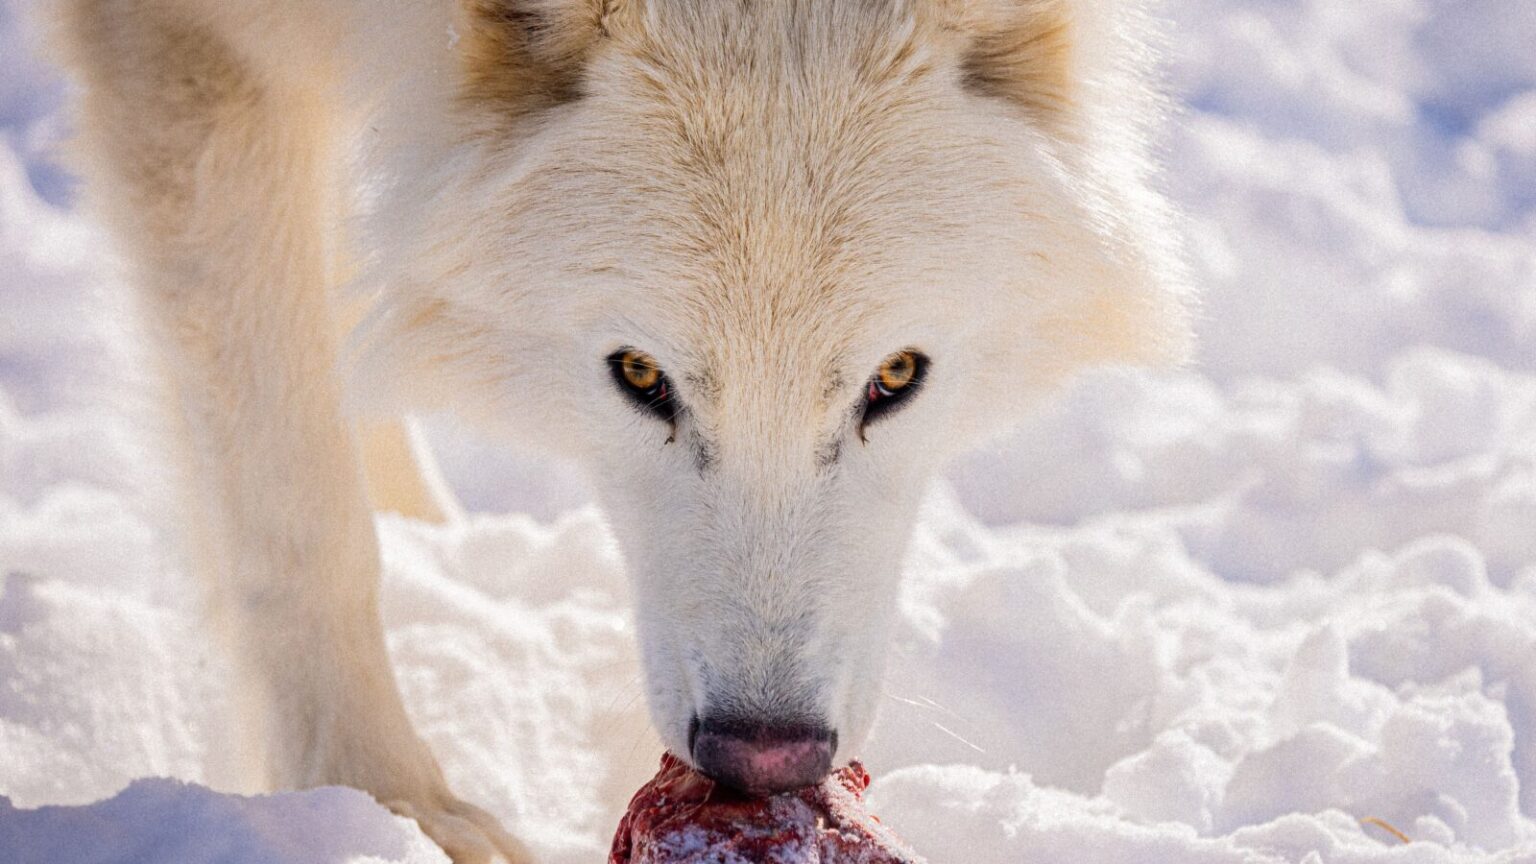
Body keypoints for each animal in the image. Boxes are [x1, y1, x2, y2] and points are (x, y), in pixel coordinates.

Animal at [47, 0, 1191, 860]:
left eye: (894, 379)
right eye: (641, 377)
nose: (762, 757)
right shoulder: (199, 48)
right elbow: (298, 511)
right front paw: (389, 811)